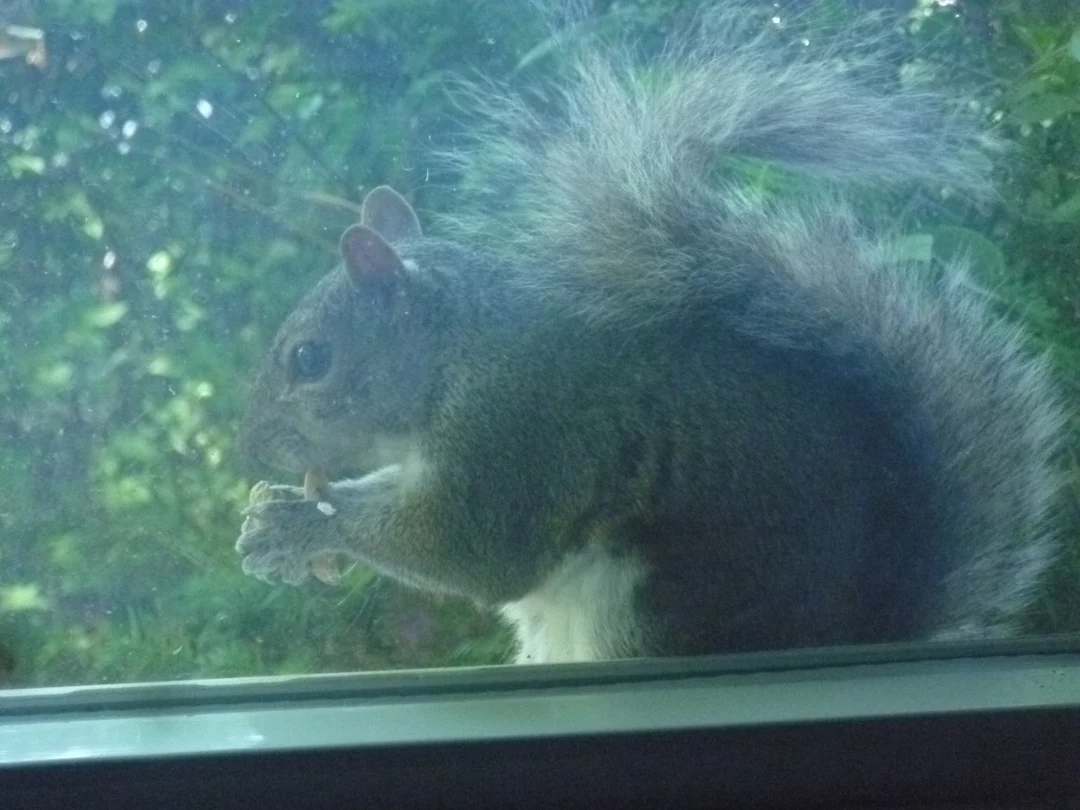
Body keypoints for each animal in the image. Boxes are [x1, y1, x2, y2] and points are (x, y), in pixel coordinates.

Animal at [235, 8, 1065, 664]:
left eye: (310, 358)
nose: (255, 446)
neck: (456, 355)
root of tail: (857, 636)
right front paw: (281, 507)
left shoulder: (517, 436)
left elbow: (468, 550)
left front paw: (297, 526)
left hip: (655, 615)